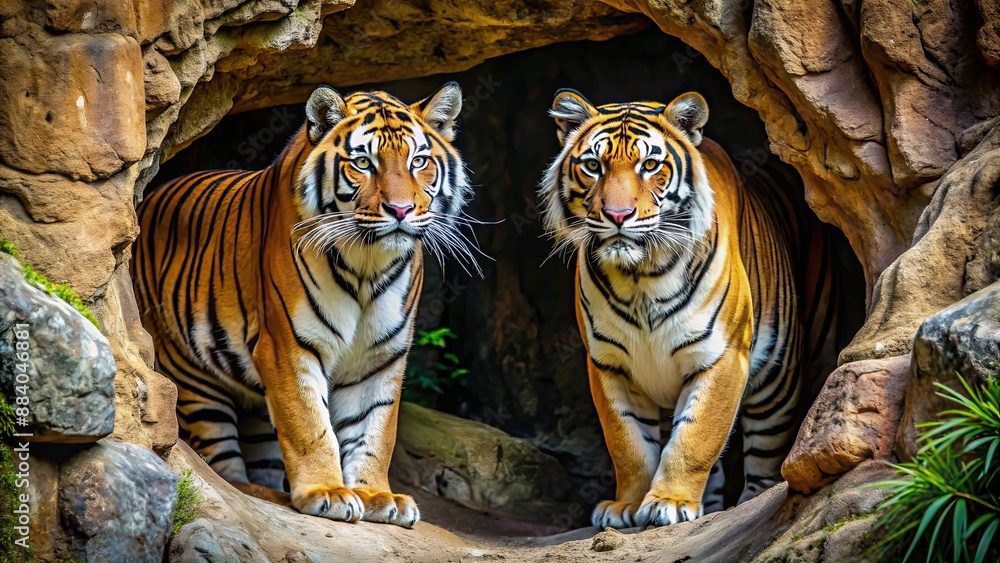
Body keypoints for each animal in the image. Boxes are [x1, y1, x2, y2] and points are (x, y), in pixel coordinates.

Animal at [131, 83, 475, 527]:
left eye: (419, 162)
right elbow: (309, 424)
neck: (368, 264)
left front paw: (377, 495)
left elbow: (375, 430)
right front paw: (326, 491)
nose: (400, 210)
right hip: (192, 382)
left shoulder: (380, 358)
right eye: (363, 163)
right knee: (221, 462)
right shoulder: (287, 347)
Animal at [538, 89, 834, 528]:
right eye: (593, 165)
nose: (617, 215)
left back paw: (748, 502)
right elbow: (627, 444)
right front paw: (626, 506)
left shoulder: (721, 355)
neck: (639, 277)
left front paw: (671, 502)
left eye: (649, 165)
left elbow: (696, 437)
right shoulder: (608, 363)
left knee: (766, 454)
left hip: (780, 381)